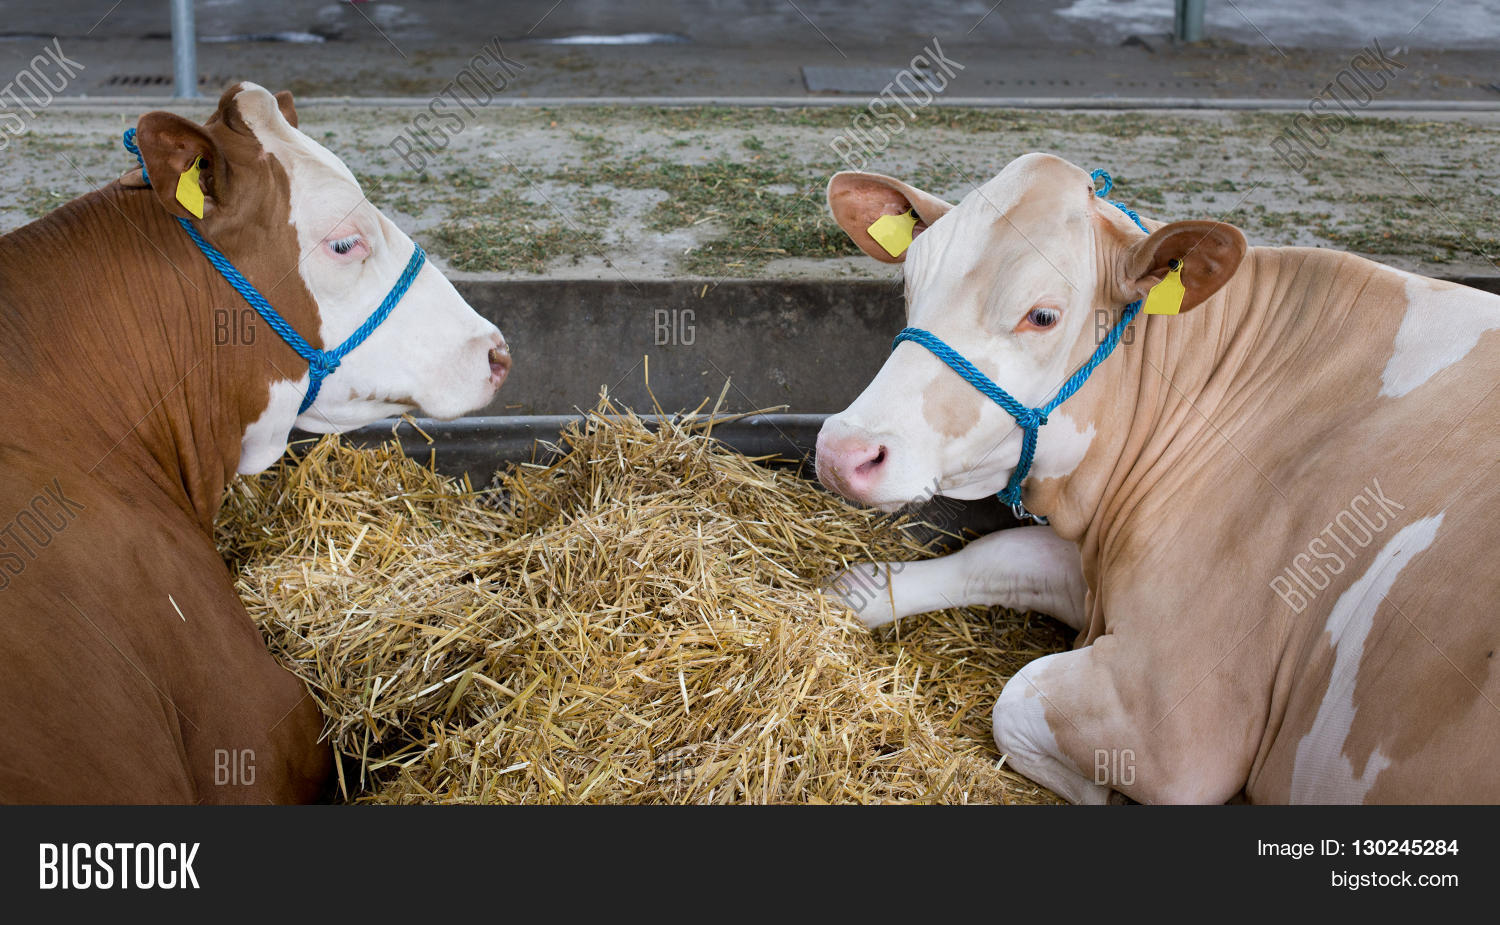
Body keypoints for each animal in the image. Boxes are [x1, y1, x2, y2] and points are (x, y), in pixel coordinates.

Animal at [816, 152, 1500, 804]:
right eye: (910, 285)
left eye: (1043, 316)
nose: (842, 449)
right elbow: (1004, 552)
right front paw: (854, 589)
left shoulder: (1177, 725)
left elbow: (1017, 698)